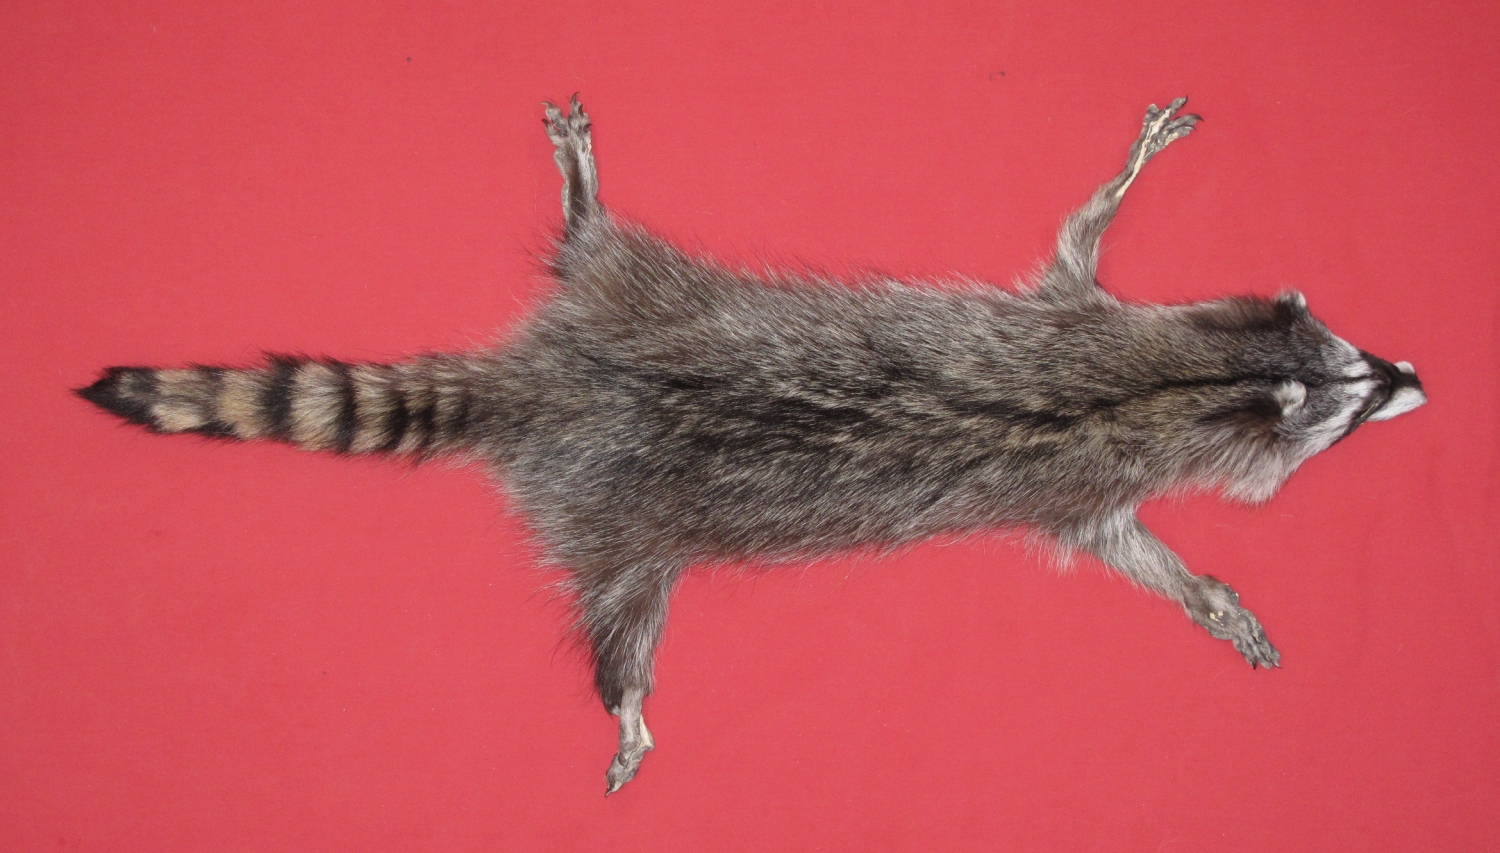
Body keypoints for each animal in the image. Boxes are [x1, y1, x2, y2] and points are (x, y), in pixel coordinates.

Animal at [78, 96, 1427, 794]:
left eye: (1355, 368)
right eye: (1353, 406)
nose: (1412, 376)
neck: (1202, 379)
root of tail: (550, 385)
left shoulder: (1097, 328)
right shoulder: (1088, 420)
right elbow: (1139, 536)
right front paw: (1216, 599)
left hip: (641, 300)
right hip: (623, 516)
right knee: (621, 622)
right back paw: (624, 697)